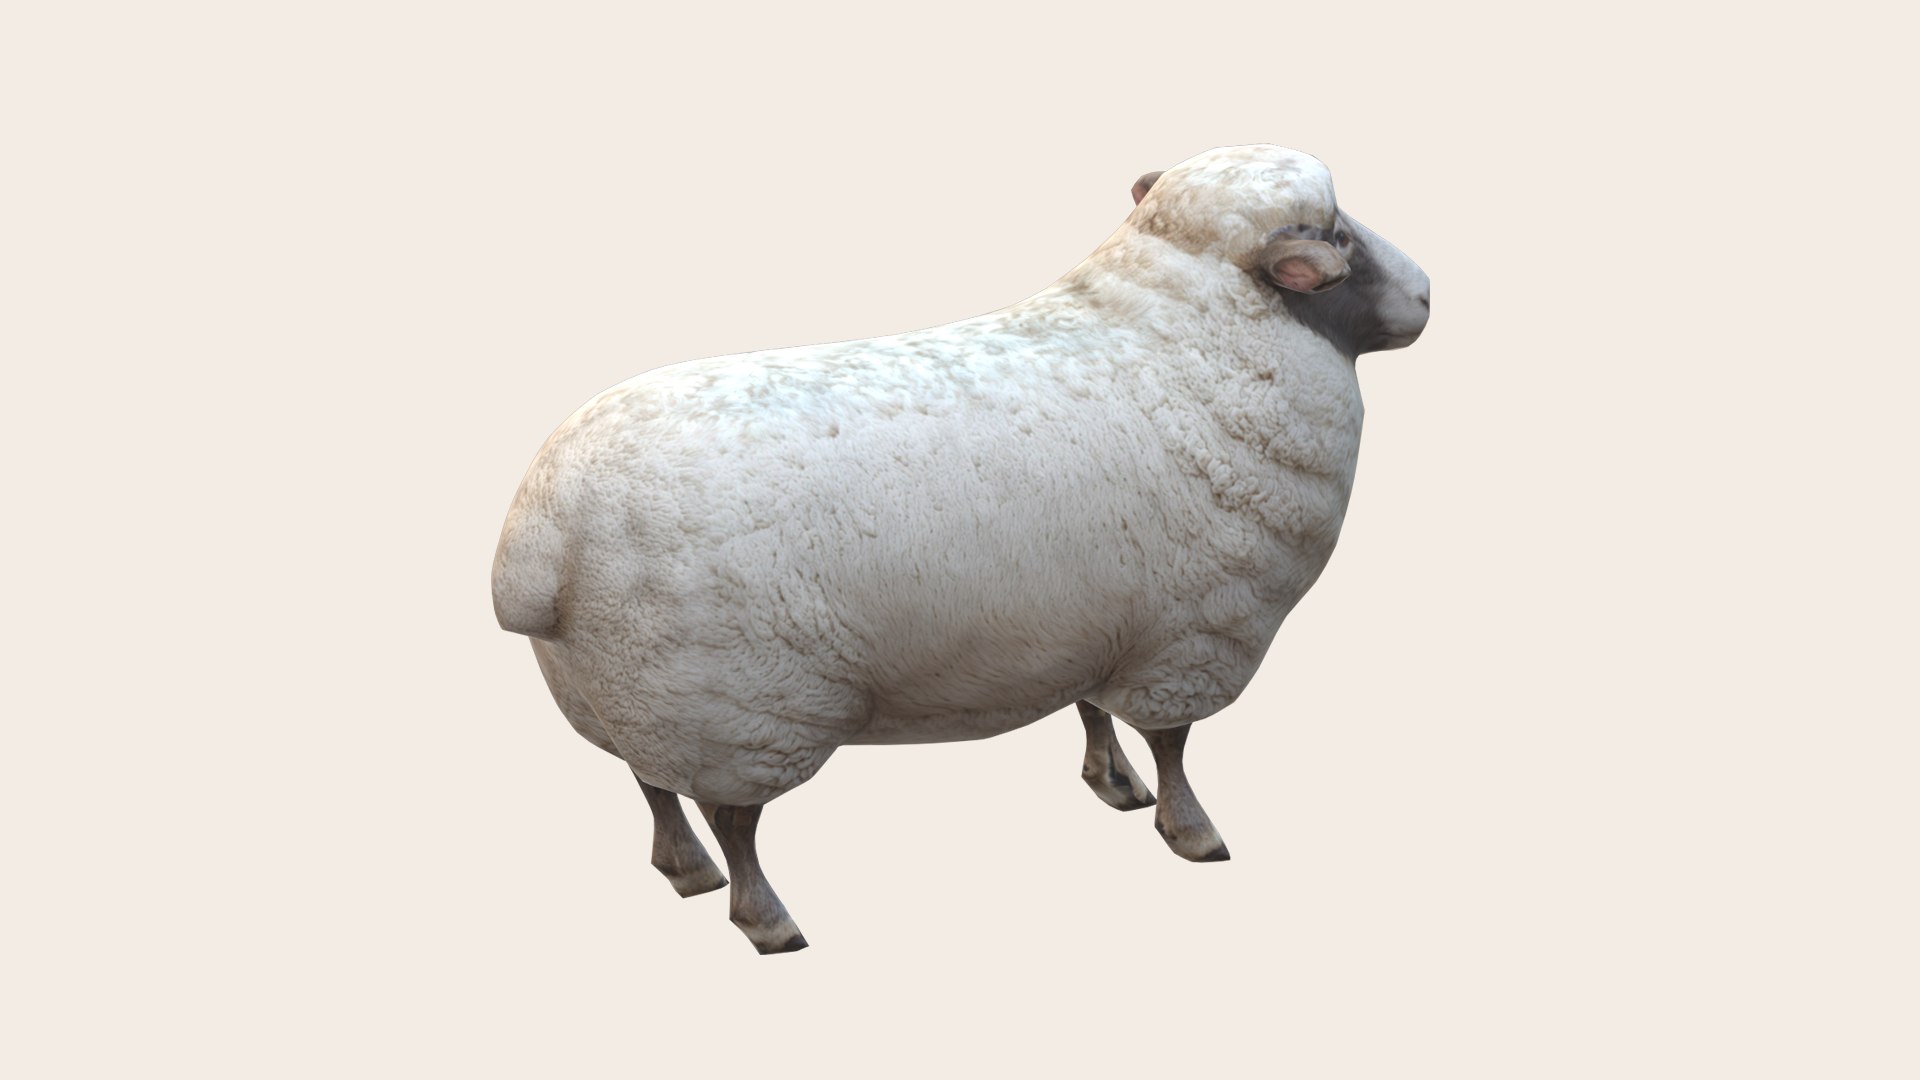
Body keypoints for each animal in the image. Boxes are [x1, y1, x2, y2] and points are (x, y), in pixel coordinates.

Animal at [492, 144, 1431, 952]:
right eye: (1338, 237)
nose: (1427, 291)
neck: (1179, 333)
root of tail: (536, 535)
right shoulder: (1192, 635)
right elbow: (1175, 745)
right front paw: (1191, 829)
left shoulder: (1091, 622)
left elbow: (1092, 711)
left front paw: (1112, 783)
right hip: (740, 704)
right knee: (735, 820)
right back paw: (764, 918)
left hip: (632, 696)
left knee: (651, 785)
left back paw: (685, 870)